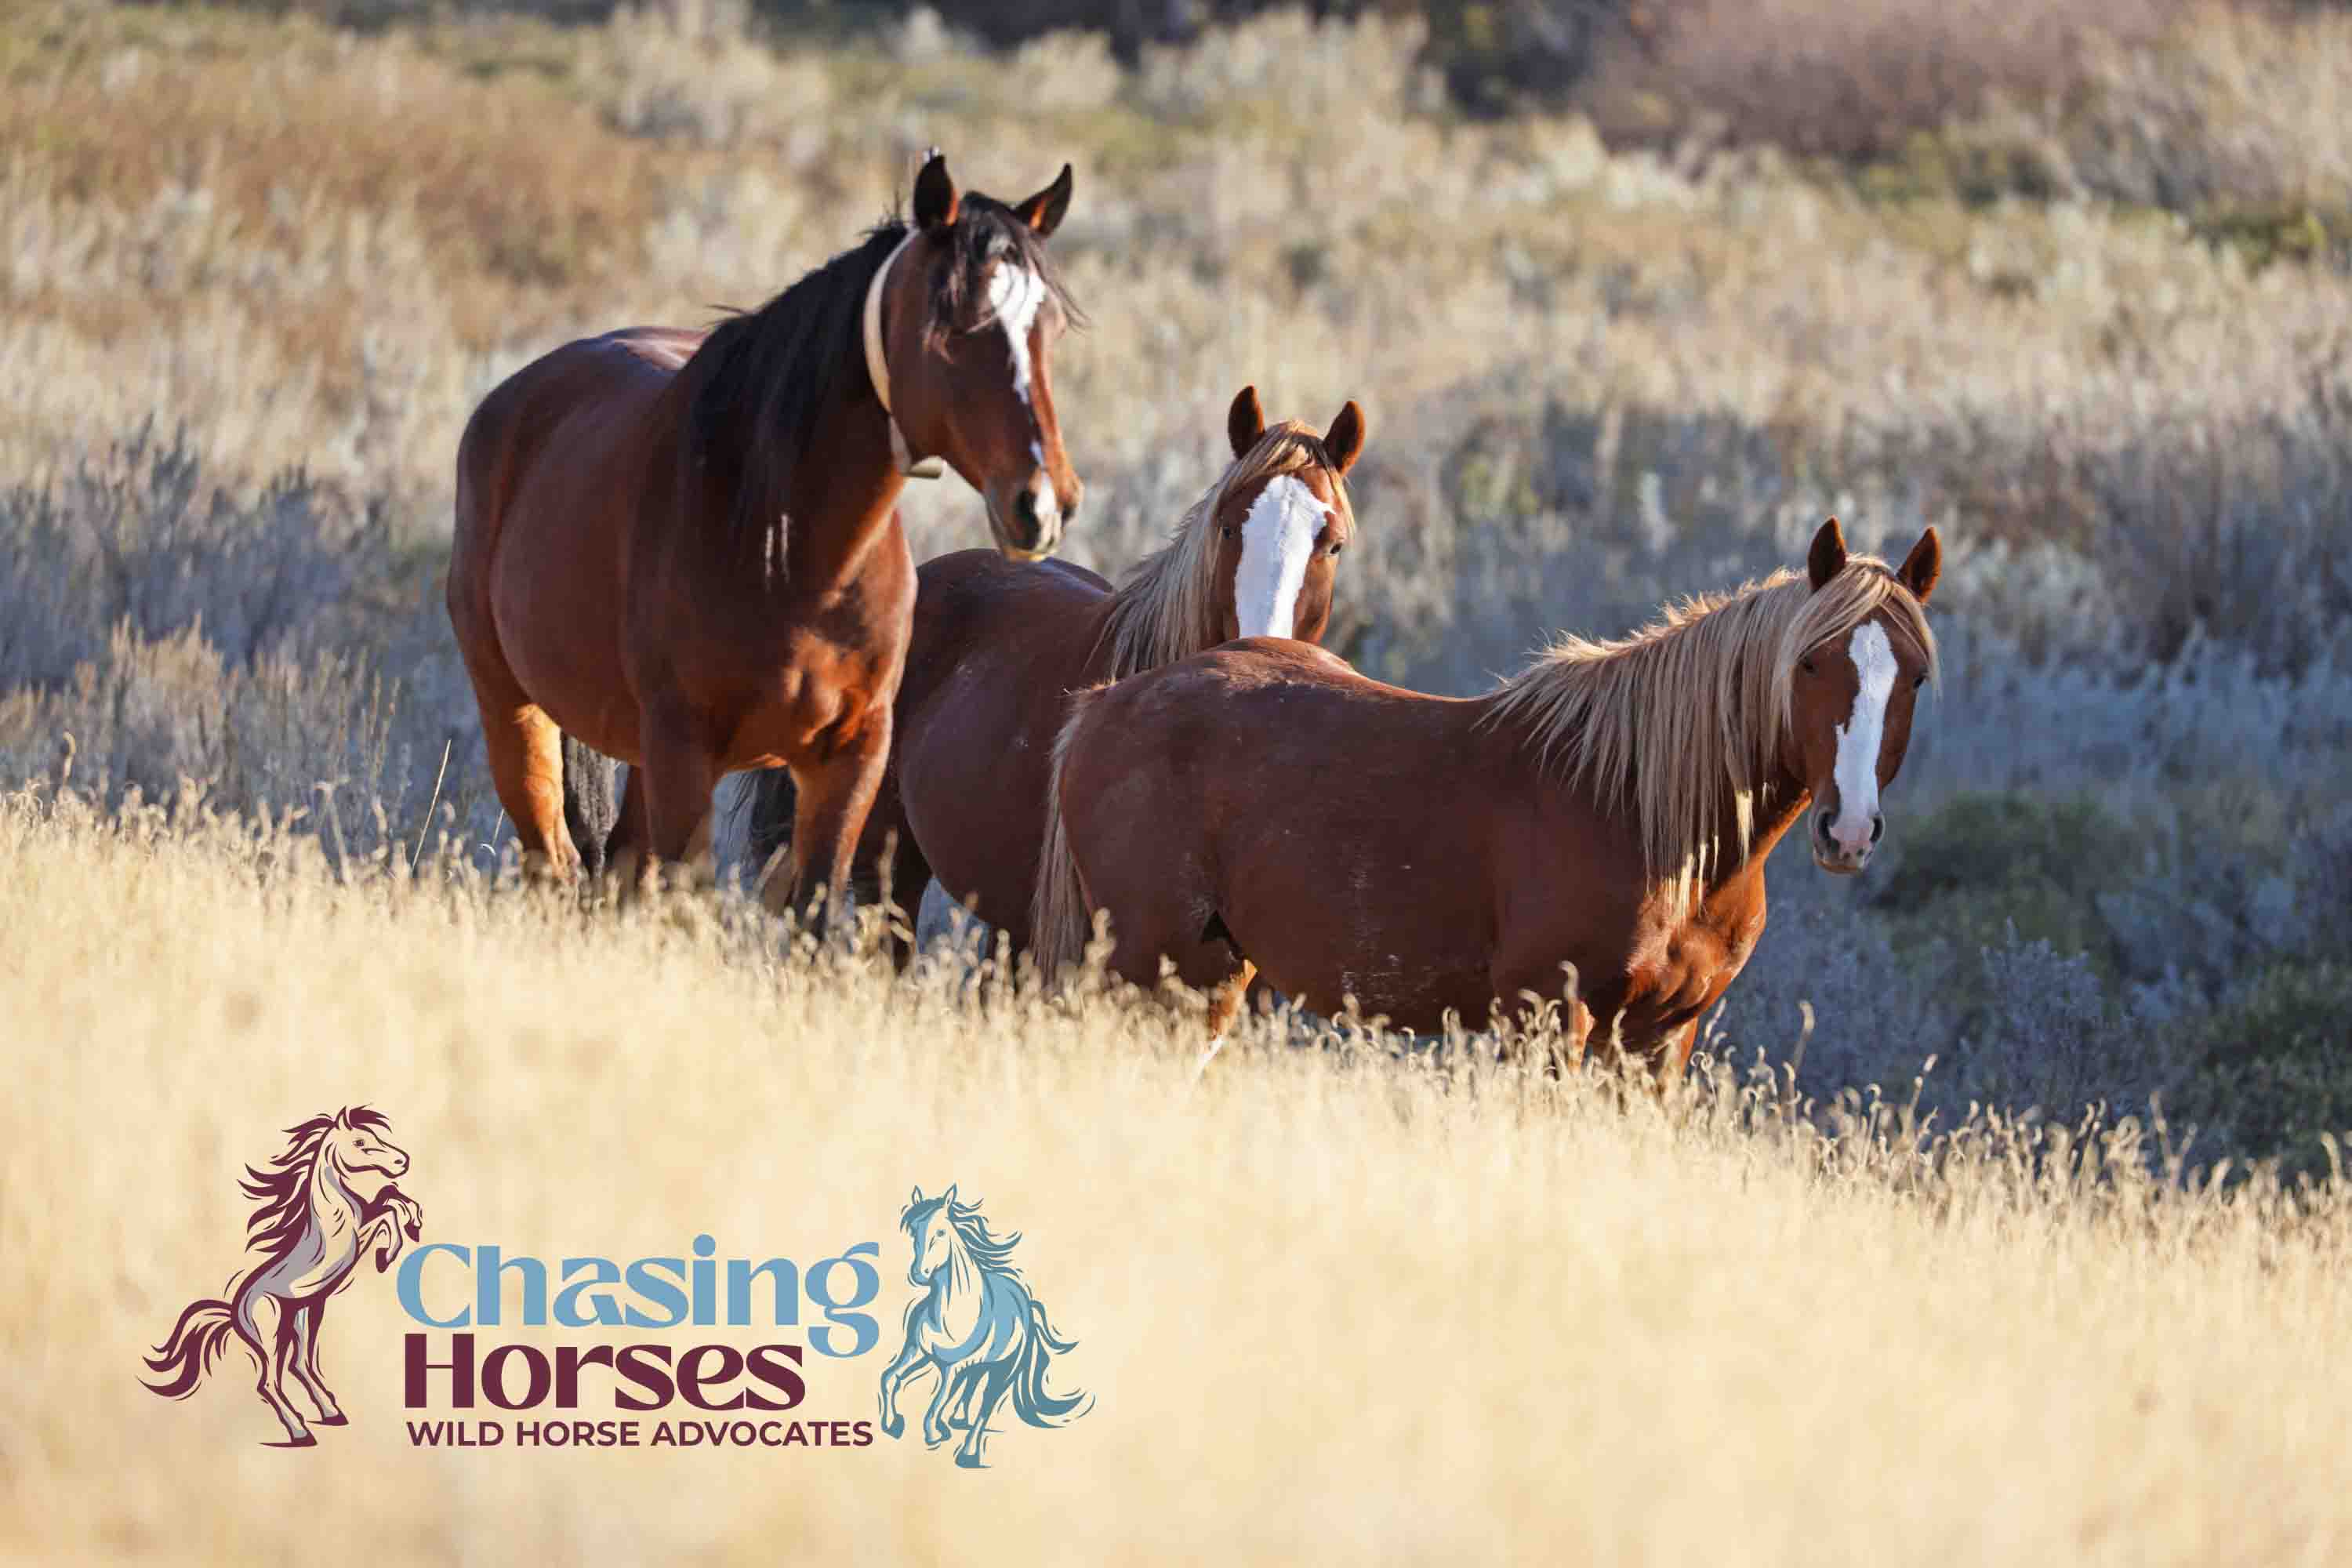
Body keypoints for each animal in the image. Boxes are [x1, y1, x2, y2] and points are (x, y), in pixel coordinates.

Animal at [142, 1107, 423, 1447]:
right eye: (359, 1141)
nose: (403, 1161)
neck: (335, 1212)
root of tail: (234, 1312)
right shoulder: (357, 1238)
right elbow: (387, 1213)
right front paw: (387, 1256)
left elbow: (391, 1197)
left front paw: (414, 1225)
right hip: (272, 1334)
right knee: (269, 1382)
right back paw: (301, 1431)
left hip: (301, 1316)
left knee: (297, 1364)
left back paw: (331, 1413)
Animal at [447, 151, 1084, 925]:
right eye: (953, 329)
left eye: (1048, 328)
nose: (1042, 503)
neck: (795, 556)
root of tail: (511, 400)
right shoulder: (685, 753)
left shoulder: (851, 758)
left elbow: (815, 914)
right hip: (517, 708)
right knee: (555, 860)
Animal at [877, 1185, 1092, 1468]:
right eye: (913, 1230)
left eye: (941, 1232)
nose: (918, 1274)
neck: (952, 1312)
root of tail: (1025, 1301)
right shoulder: (917, 1351)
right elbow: (890, 1378)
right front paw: (893, 1424)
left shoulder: (952, 1367)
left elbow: (935, 1405)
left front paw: (932, 1434)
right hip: (972, 1365)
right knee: (968, 1387)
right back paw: (955, 1422)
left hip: (1002, 1370)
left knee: (986, 1404)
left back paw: (968, 1452)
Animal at [1035, 519, 1942, 1074]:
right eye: (1810, 663)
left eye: (1916, 679)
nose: (1847, 830)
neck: (1642, 816)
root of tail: (1100, 706)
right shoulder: (1549, 1019)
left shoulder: (1658, 1041)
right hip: (1145, 968)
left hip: (1209, 976)